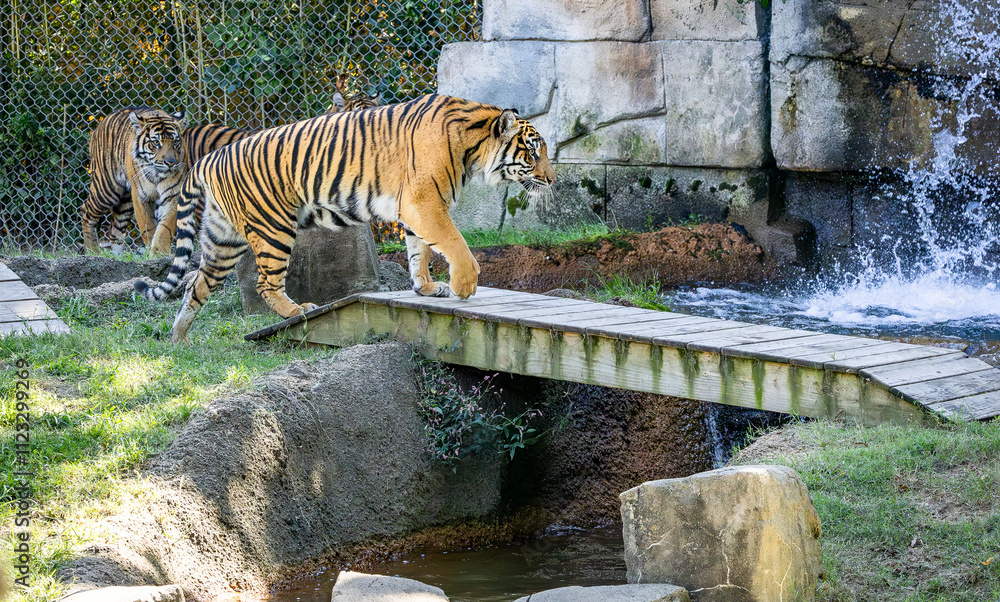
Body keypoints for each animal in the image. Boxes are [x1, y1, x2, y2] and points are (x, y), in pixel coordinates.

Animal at [81, 107, 187, 256]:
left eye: (175, 142)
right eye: (156, 143)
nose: (170, 162)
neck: (157, 174)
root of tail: (102, 122)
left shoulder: (173, 195)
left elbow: (165, 227)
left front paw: (160, 252)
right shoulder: (141, 195)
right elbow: (148, 226)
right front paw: (153, 251)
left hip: (125, 202)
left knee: (116, 229)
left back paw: (117, 256)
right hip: (107, 190)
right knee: (86, 211)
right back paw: (93, 251)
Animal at [134, 94, 555, 343]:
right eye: (534, 152)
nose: (552, 179)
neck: (473, 147)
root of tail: (207, 158)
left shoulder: (415, 206)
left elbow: (418, 250)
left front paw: (425, 288)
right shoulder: (423, 201)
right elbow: (454, 243)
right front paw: (464, 285)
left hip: (223, 239)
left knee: (195, 285)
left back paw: (178, 338)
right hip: (272, 229)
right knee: (265, 283)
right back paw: (298, 311)